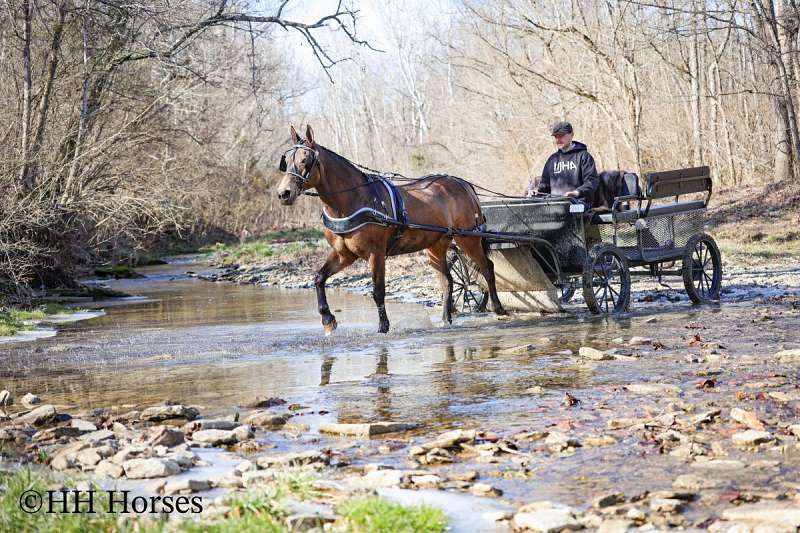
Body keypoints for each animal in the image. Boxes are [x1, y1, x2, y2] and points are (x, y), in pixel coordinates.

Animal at [276, 125, 506, 334]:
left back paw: (498, 309)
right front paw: (328, 319)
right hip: (436, 245)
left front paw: (383, 326)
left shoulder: (375, 253)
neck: (352, 200)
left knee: (487, 268)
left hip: (468, 239)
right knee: (447, 281)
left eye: (305, 159)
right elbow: (319, 278)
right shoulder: (344, 254)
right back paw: (446, 319)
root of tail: (464, 184)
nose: (283, 193)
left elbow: (378, 290)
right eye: (286, 161)